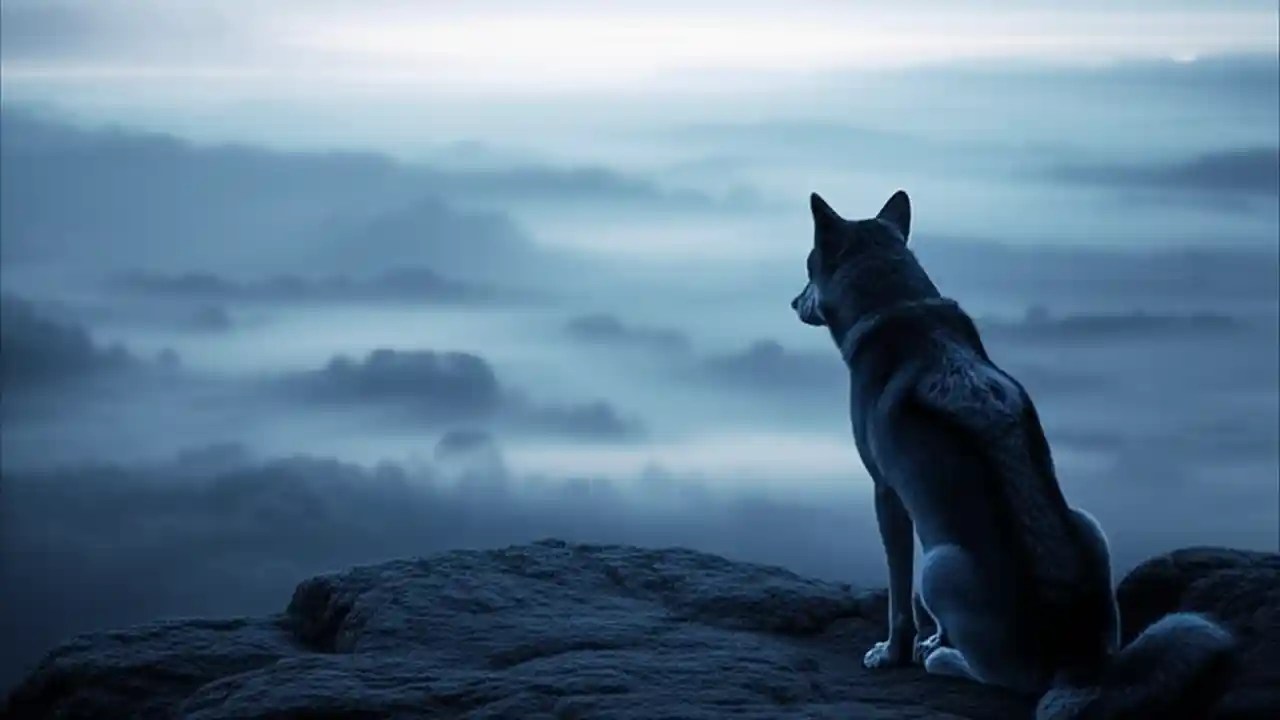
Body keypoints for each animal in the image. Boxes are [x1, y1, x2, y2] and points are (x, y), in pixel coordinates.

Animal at [791, 191, 1237, 719]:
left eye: (807, 265)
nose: (792, 301)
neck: (898, 303)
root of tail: (1079, 661)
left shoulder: (887, 494)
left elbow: (898, 599)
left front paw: (893, 652)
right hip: (1088, 523)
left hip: (939, 566)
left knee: (996, 678)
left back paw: (942, 656)